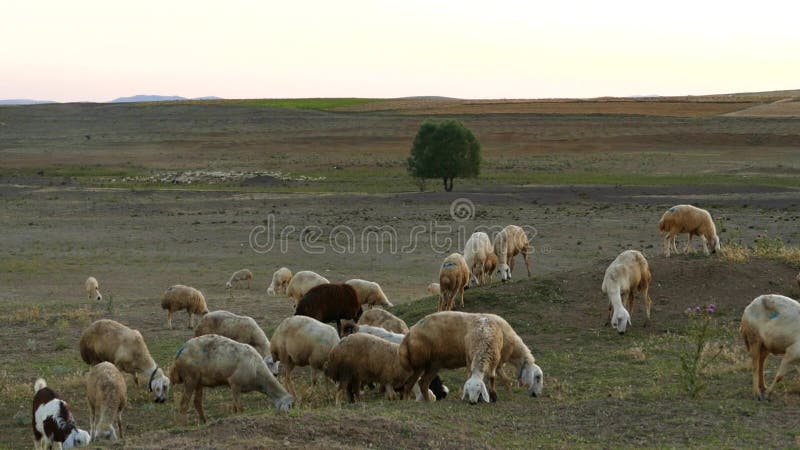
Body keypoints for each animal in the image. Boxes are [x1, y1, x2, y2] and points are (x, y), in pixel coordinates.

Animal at [399, 311, 544, 403]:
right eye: (537, 377)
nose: (536, 395)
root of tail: (409, 334)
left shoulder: (497, 363)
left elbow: (505, 380)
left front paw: (506, 395)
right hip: (423, 363)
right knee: (418, 383)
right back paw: (421, 401)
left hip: (429, 364)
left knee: (415, 383)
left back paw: (415, 400)